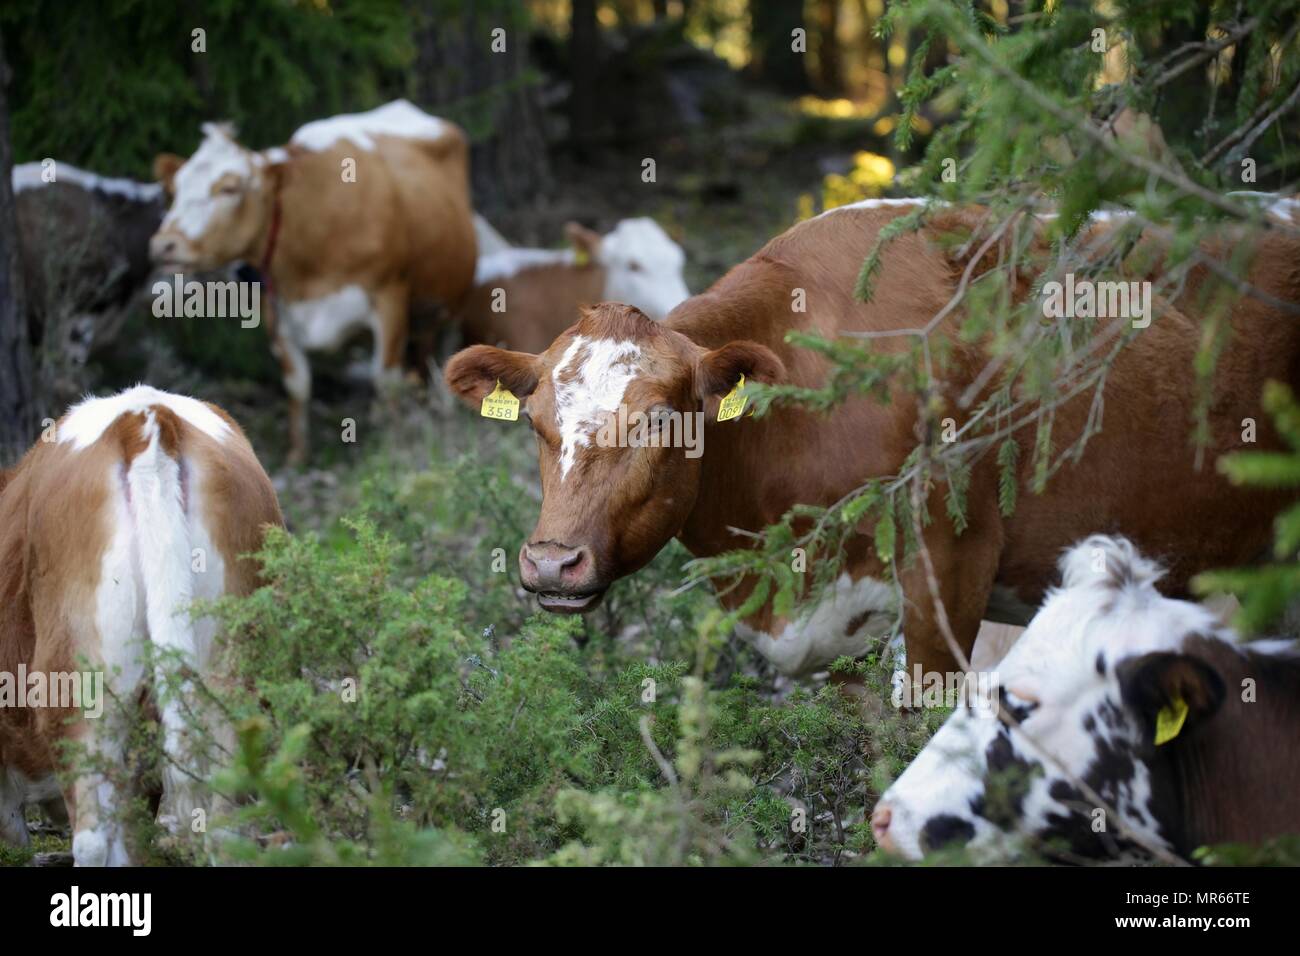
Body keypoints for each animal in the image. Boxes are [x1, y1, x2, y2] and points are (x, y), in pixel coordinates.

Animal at [149, 99, 477, 463]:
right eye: (175, 189)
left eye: (229, 188)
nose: (164, 244)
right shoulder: (277, 309)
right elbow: (298, 384)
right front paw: (297, 454)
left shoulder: (389, 296)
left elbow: (385, 379)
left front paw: (392, 444)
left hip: (455, 297)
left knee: (447, 348)